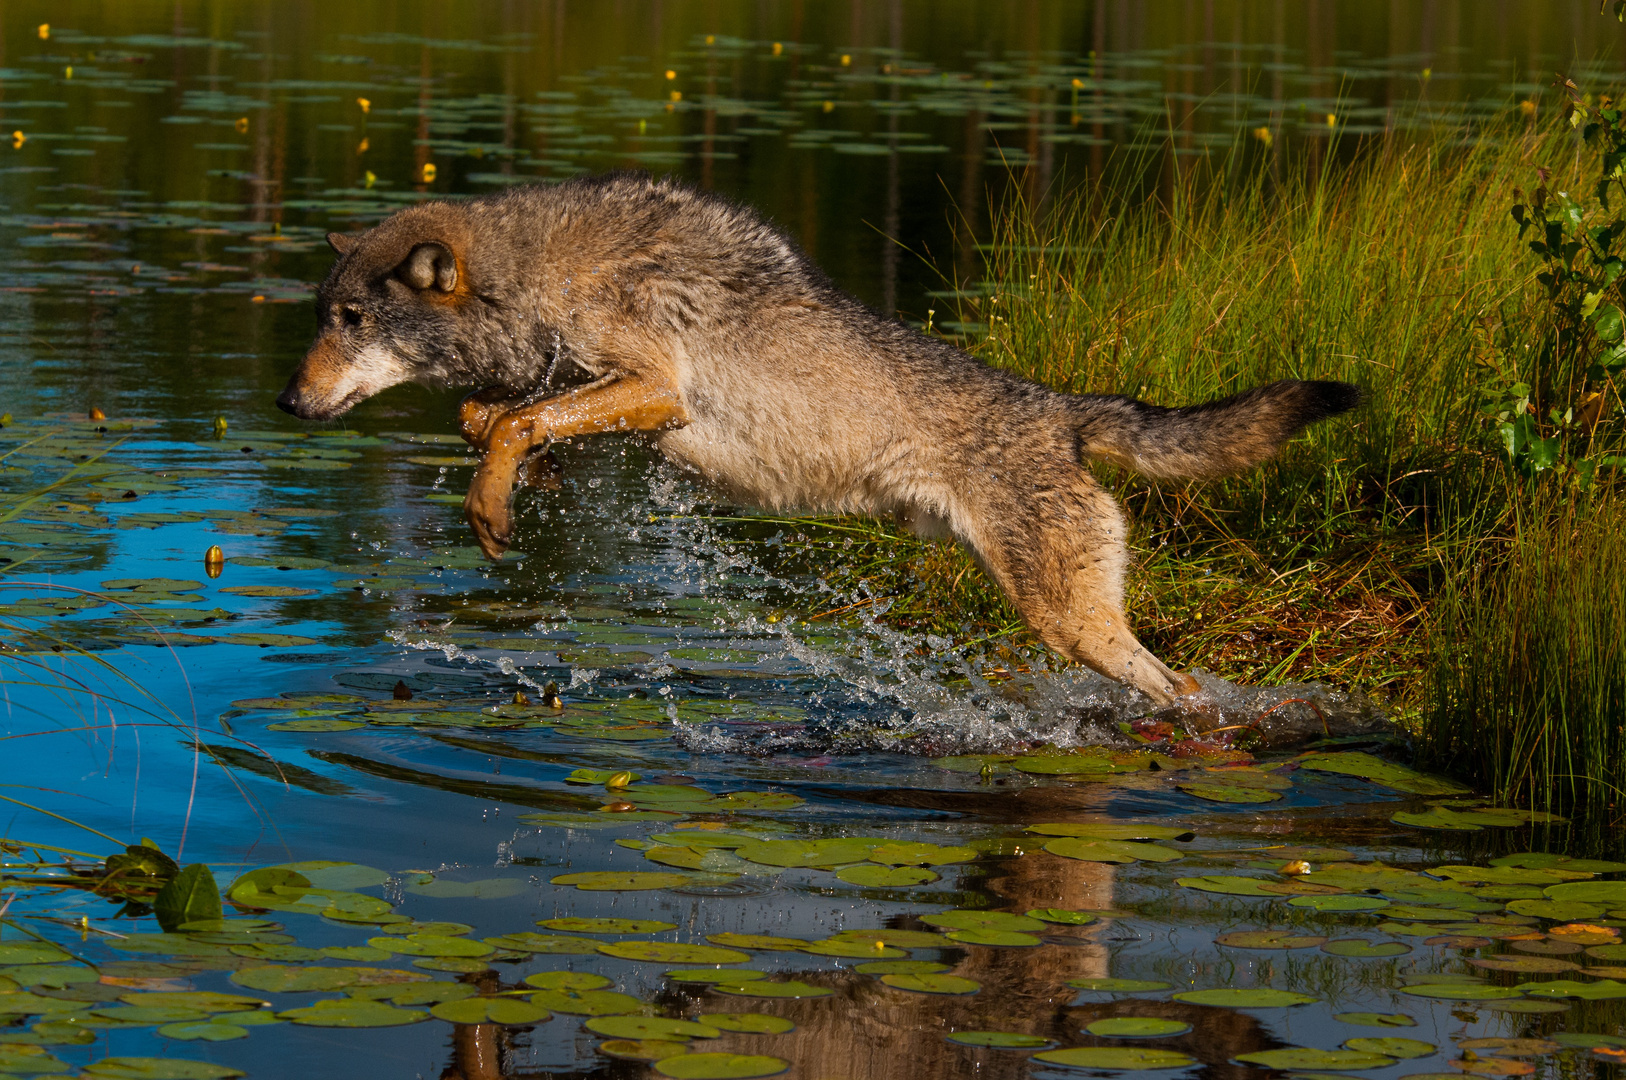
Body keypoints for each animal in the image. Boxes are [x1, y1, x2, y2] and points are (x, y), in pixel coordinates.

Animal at [277, 172, 1359, 705]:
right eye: (320, 316)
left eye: (351, 323)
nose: (286, 401)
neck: (541, 275)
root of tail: (1066, 407)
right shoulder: (597, 393)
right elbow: (495, 416)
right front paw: (520, 476)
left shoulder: (659, 391)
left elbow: (517, 416)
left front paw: (493, 505)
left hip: (1071, 623)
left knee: (1183, 689)